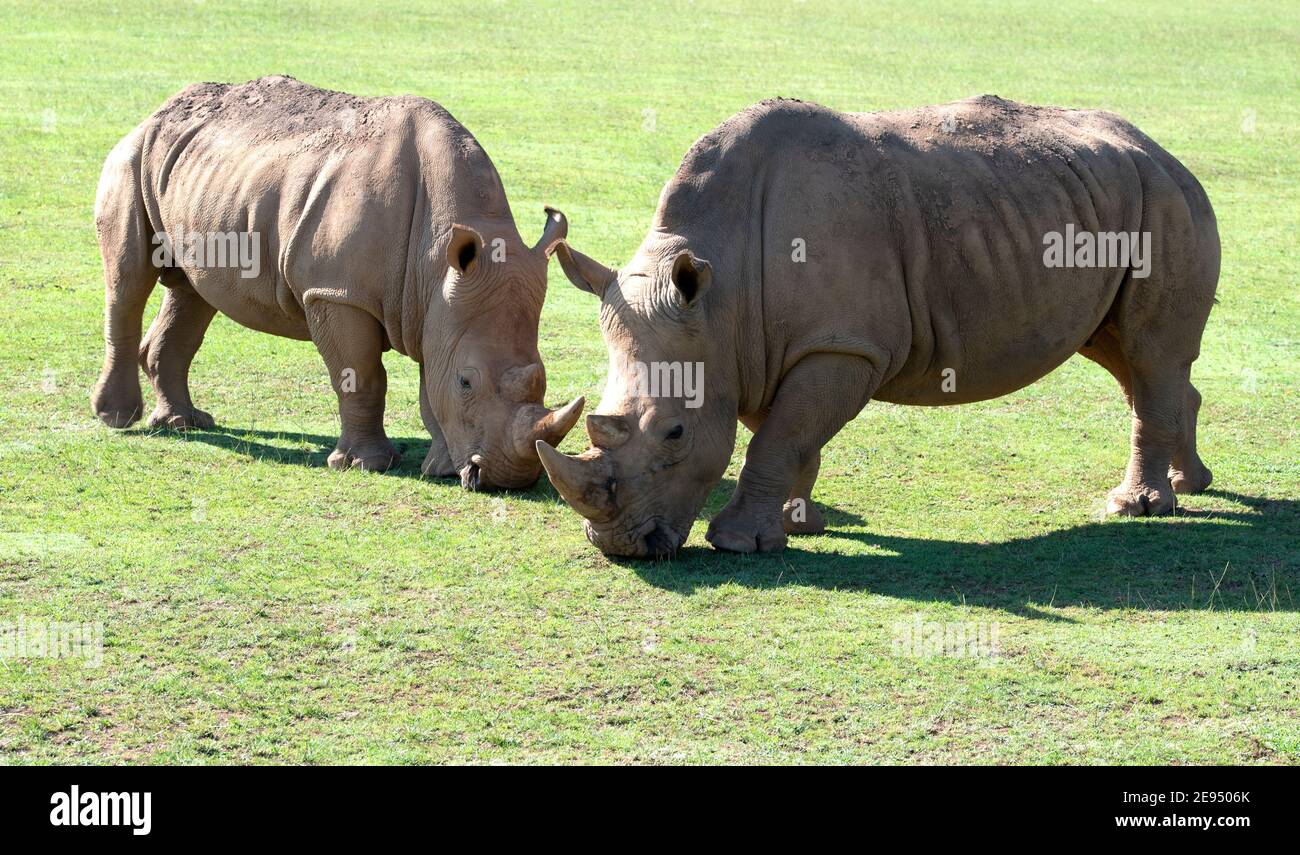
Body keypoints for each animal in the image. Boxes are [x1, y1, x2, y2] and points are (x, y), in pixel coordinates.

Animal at [91, 76, 582, 490]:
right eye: (467, 382)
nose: (507, 480)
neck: (436, 259)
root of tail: (157, 111)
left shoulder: (438, 306)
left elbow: (429, 384)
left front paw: (440, 468)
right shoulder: (337, 294)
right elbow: (361, 374)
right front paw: (364, 465)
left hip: (206, 181)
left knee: (191, 293)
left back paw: (184, 423)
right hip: (132, 157)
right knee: (129, 280)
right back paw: (118, 419)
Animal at [540, 96, 1219, 557]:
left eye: (675, 434)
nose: (620, 546)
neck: (720, 291)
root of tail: (1163, 151)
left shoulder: (842, 346)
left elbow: (779, 436)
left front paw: (739, 543)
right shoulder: (756, 345)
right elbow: (788, 435)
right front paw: (796, 525)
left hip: (1166, 203)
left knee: (1149, 354)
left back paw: (1137, 508)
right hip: (1109, 201)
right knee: (1126, 356)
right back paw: (1191, 484)